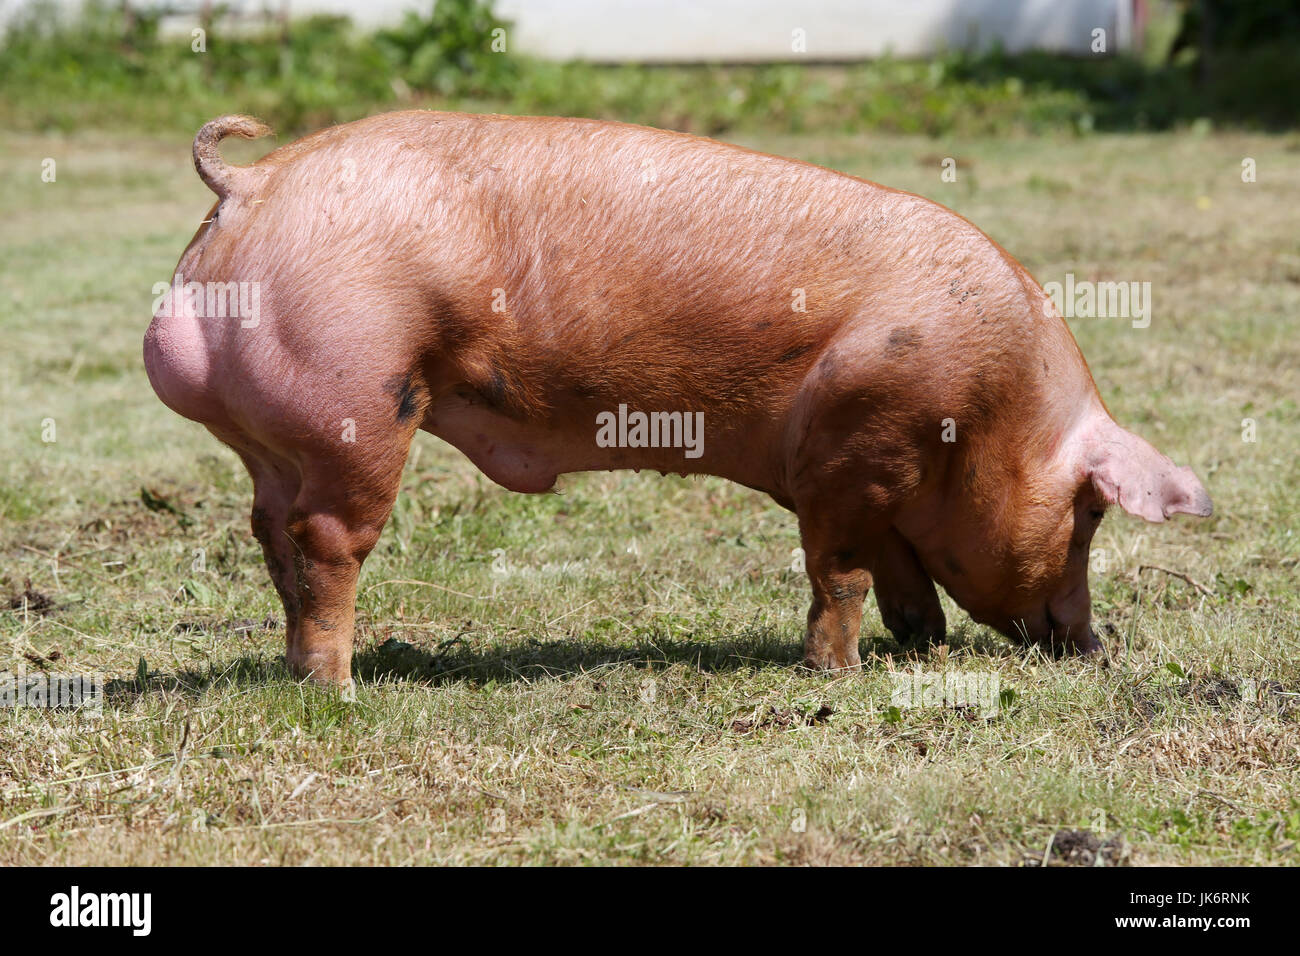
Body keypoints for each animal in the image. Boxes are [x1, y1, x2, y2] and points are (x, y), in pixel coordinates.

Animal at [144, 112, 1212, 693]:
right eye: (1089, 516)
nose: (1092, 644)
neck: (990, 413)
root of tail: (251, 179)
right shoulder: (851, 444)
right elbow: (842, 573)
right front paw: (837, 675)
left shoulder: (878, 477)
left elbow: (900, 572)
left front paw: (922, 643)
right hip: (357, 398)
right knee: (326, 541)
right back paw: (341, 687)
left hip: (279, 435)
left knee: (269, 531)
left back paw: (301, 667)